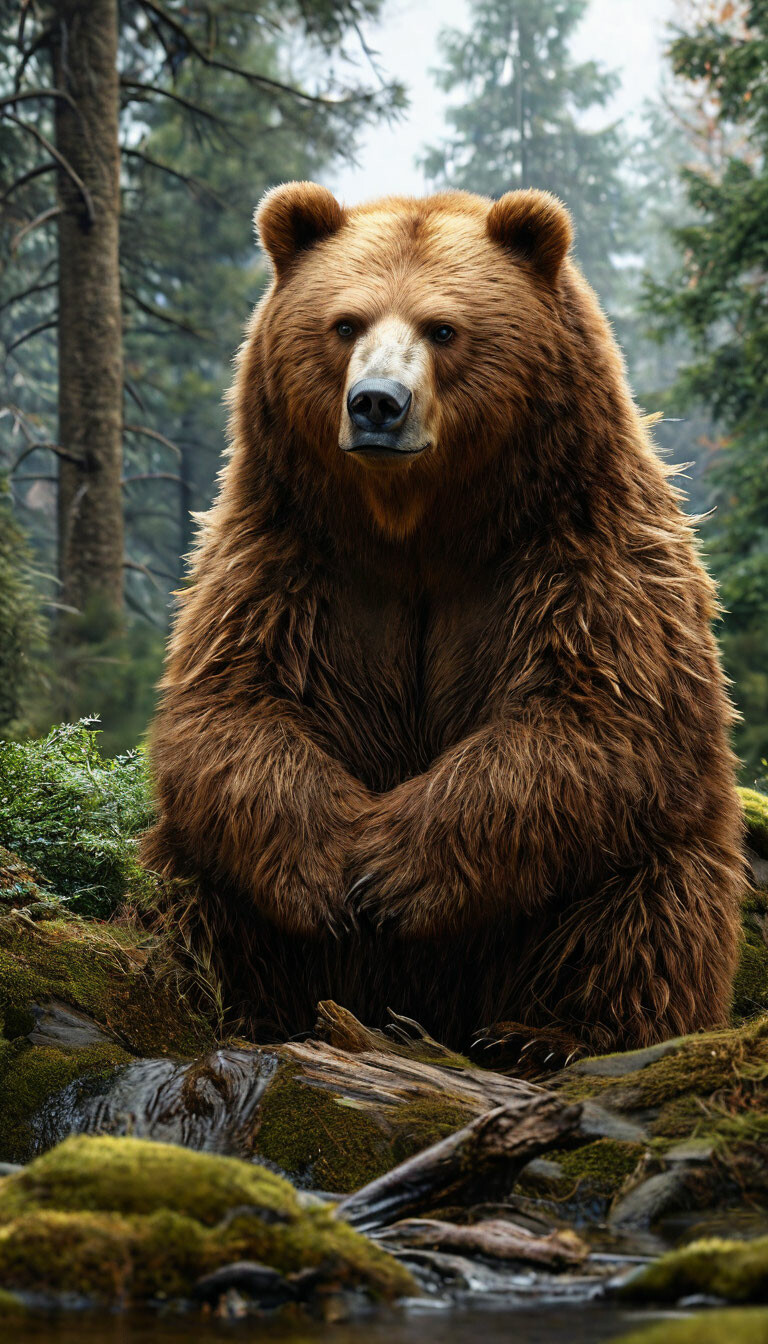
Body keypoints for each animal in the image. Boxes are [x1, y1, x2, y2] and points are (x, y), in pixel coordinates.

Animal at [142, 181, 745, 1056]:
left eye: (444, 327)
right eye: (346, 322)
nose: (377, 404)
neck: (416, 533)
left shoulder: (579, 552)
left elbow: (600, 714)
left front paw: (389, 870)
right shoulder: (285, 560)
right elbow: (230, 706)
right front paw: (333, 868)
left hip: (628, 872)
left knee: (641, 908)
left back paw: (547, 1032)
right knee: (199, 885)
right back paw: (230, 1005)